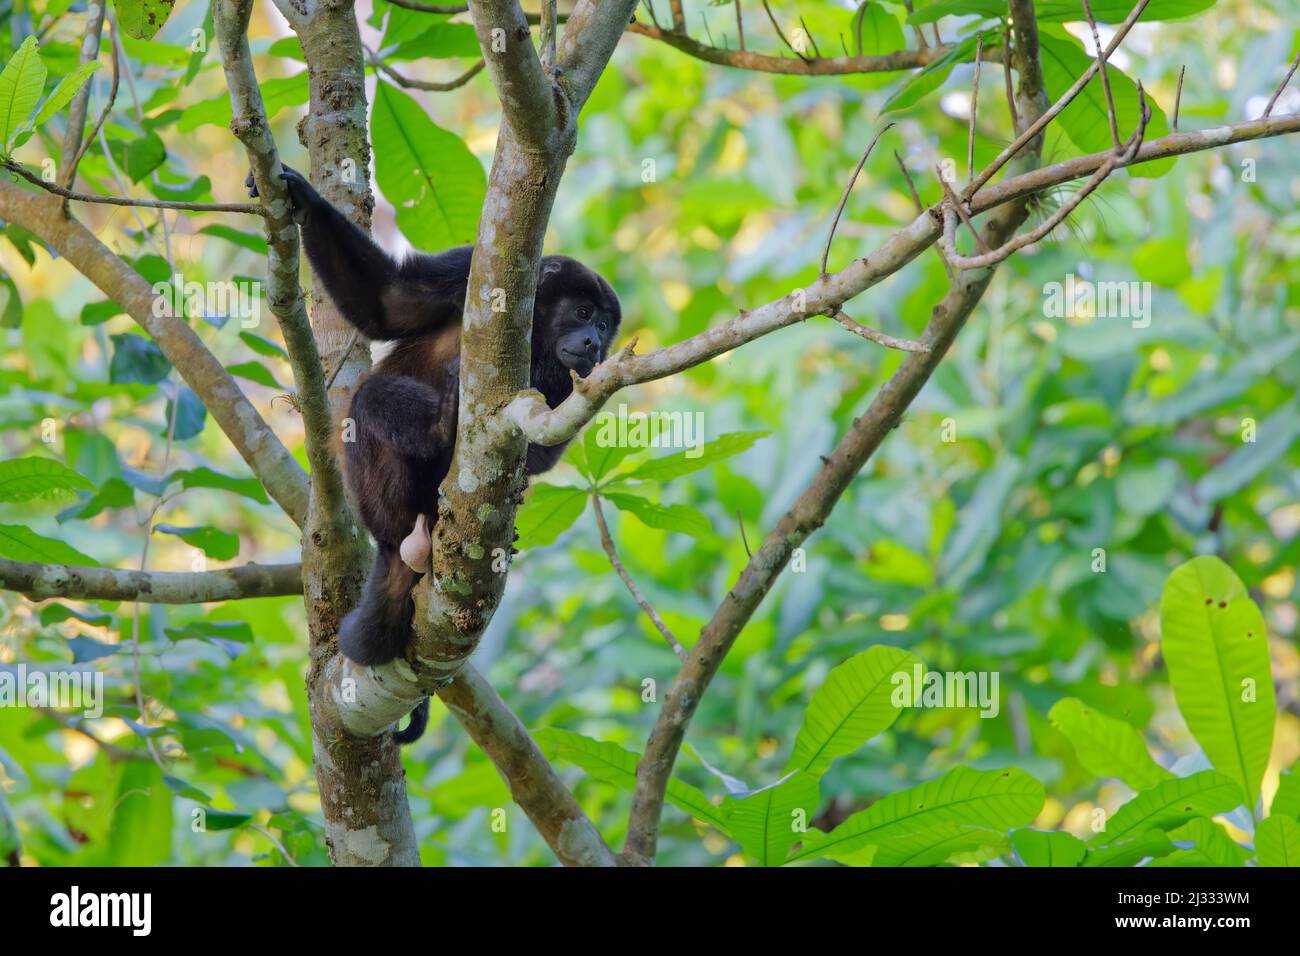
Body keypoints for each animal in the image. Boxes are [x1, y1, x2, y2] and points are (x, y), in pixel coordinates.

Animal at [248, 167, 620, 736]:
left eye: (604, 325)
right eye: (582, 313)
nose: (595, 343)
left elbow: (545, 446)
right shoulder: (468, 267)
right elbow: (389, 301)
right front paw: (301, 196)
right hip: (378, 500)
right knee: (368, 402)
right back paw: (436, 436)